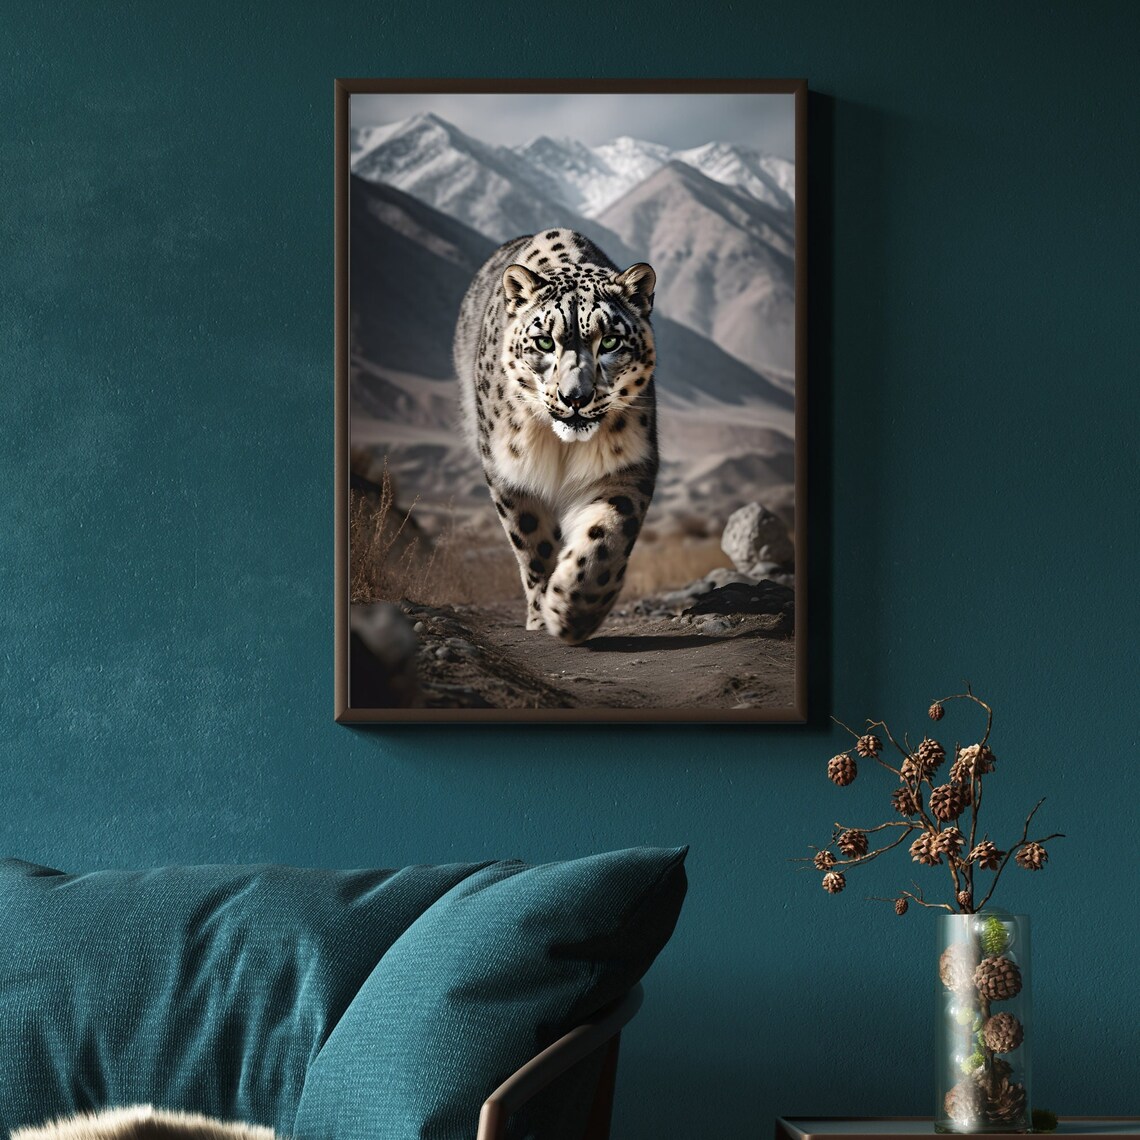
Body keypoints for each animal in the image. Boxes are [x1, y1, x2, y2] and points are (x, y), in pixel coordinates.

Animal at [453, 228, 658, 644]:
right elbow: (535, 546)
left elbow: (606, 537)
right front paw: (544, 614)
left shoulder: (627, 465)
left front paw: (574, 609)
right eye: (545, 341)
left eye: (609, 341)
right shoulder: (510, 473)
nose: (575, 397)